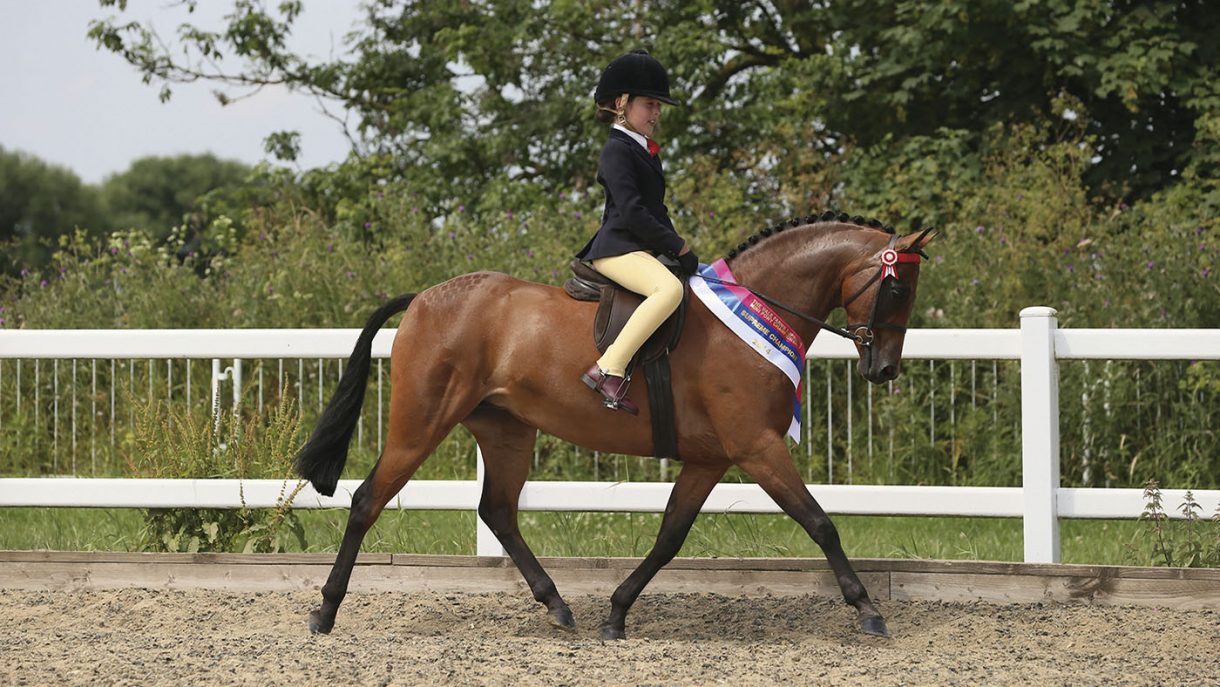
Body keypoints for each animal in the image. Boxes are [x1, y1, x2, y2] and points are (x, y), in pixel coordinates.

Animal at [295, 212, 938, 640]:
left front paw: (617, 612)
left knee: (498, 511)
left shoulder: (710, 458)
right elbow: (820, 522)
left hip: (507, 431)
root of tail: (425, 298)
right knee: (367, 500)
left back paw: (558, 607)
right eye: (898, 287)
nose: (884, 370)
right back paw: (325, 612)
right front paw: (868, 610)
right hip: (422, 422)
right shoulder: (757, 448)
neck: (752, 315)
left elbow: (670, 536)